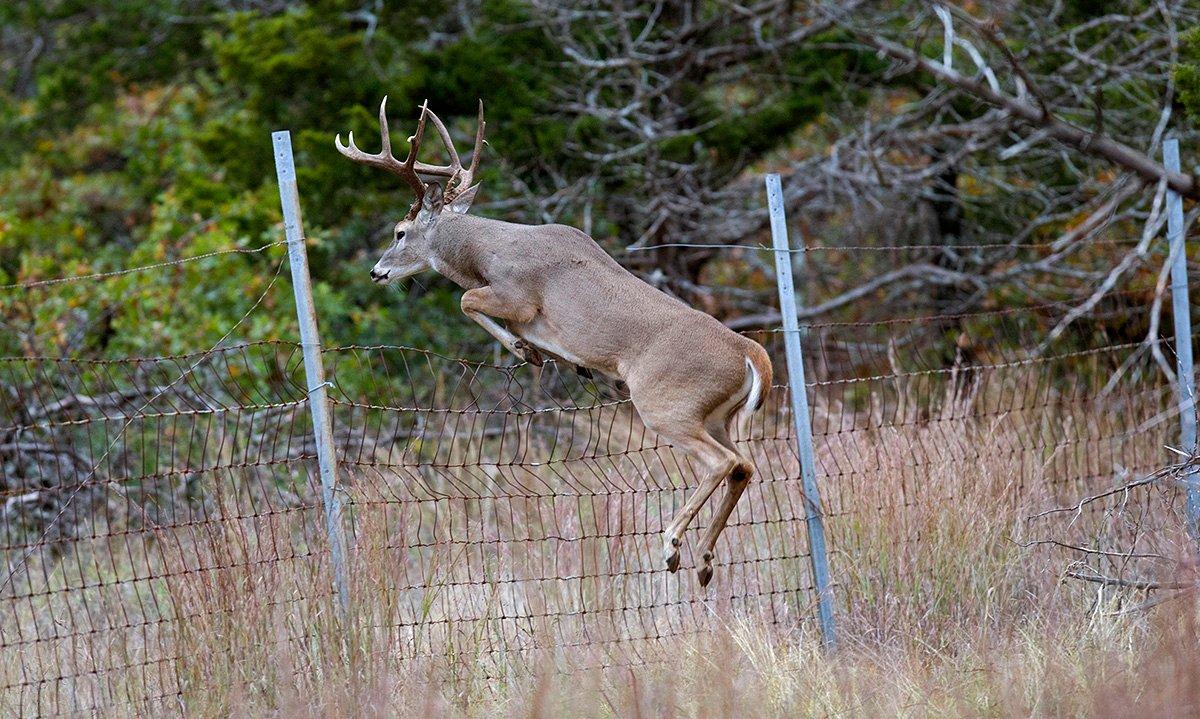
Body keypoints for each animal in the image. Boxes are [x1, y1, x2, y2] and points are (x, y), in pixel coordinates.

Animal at [336, 98, 777, 588]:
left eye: (400, 232)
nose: (376, 271)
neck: (485, 252)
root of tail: (751, 353)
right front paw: (546, 354)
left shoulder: (517, 295)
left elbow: (467, 300)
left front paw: (523, 349)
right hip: (718, 416)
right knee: (743, 465)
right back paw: (703, 560)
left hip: (667, 403)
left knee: (722, 462)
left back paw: (672, 546)